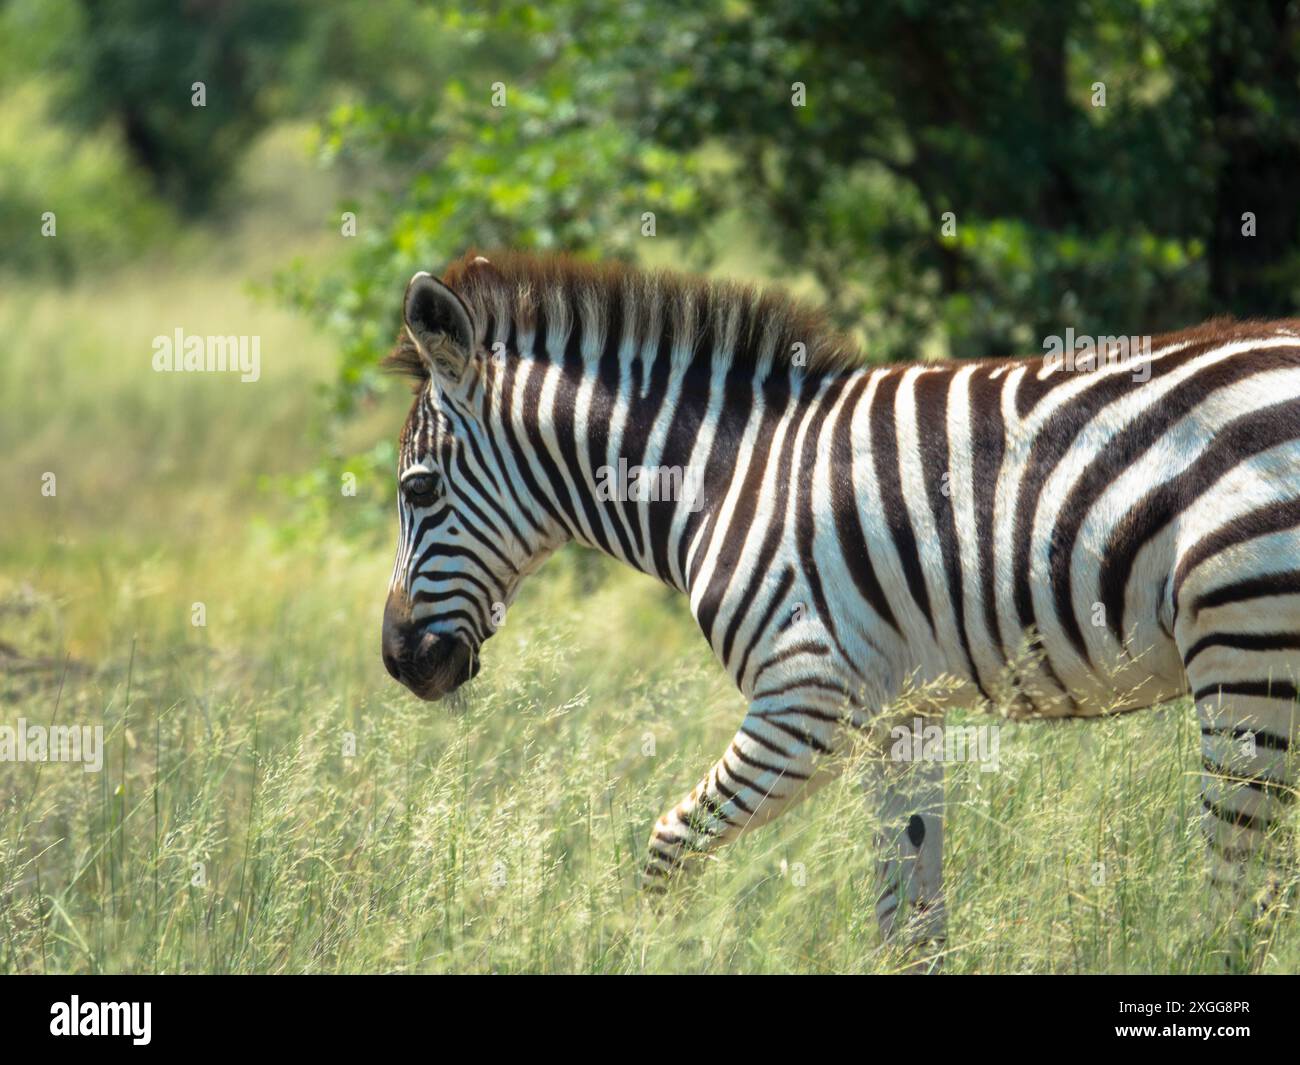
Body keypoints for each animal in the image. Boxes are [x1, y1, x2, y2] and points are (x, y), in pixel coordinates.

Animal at [380, 249, 1299, 963]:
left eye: (417, 490)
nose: (398, 662)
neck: (724, 477)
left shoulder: (809, 698)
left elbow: (669, 846)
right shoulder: (902, 716)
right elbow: (911, 921)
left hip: (1243, 649)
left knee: (1238, 907)